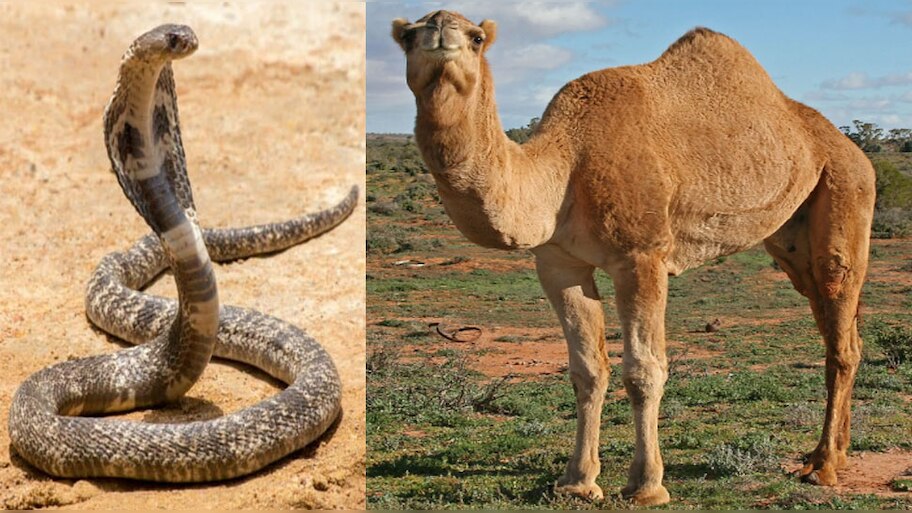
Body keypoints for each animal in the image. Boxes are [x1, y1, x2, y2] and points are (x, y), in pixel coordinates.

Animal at [391, 10, 876, 506]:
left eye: (476, 37)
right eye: (408, 36)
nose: (440, 31)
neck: (565, 166)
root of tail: (850, 147)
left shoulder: (641, 256)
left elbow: (644, 370)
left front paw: (646, 485)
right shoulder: (558, 264)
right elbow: (587, 369)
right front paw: (577, 482)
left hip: (846, 187)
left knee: (839, 324)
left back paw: (824, 467)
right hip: (792, 238)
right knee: (837, 324)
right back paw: (831, 454)